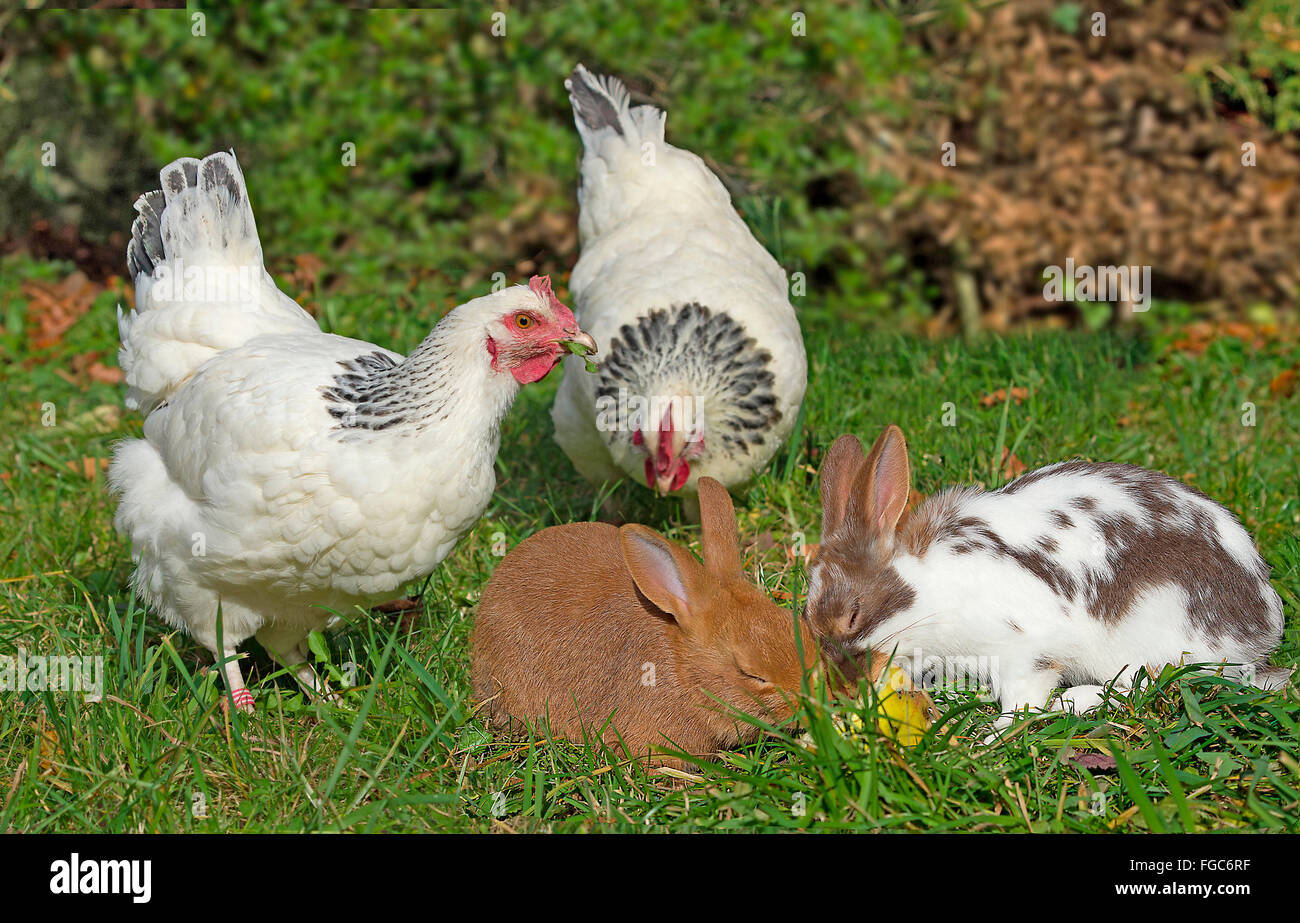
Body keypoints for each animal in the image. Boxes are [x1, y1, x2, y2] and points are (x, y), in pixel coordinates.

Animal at [805, 424, 1291, 737]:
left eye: (853, 615)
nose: (842, 687)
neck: (928, 594)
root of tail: (1263, 626)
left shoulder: (1023, 648)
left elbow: (1022, 698)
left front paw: (992, 735)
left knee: (1148, 682)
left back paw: (1073, 701)